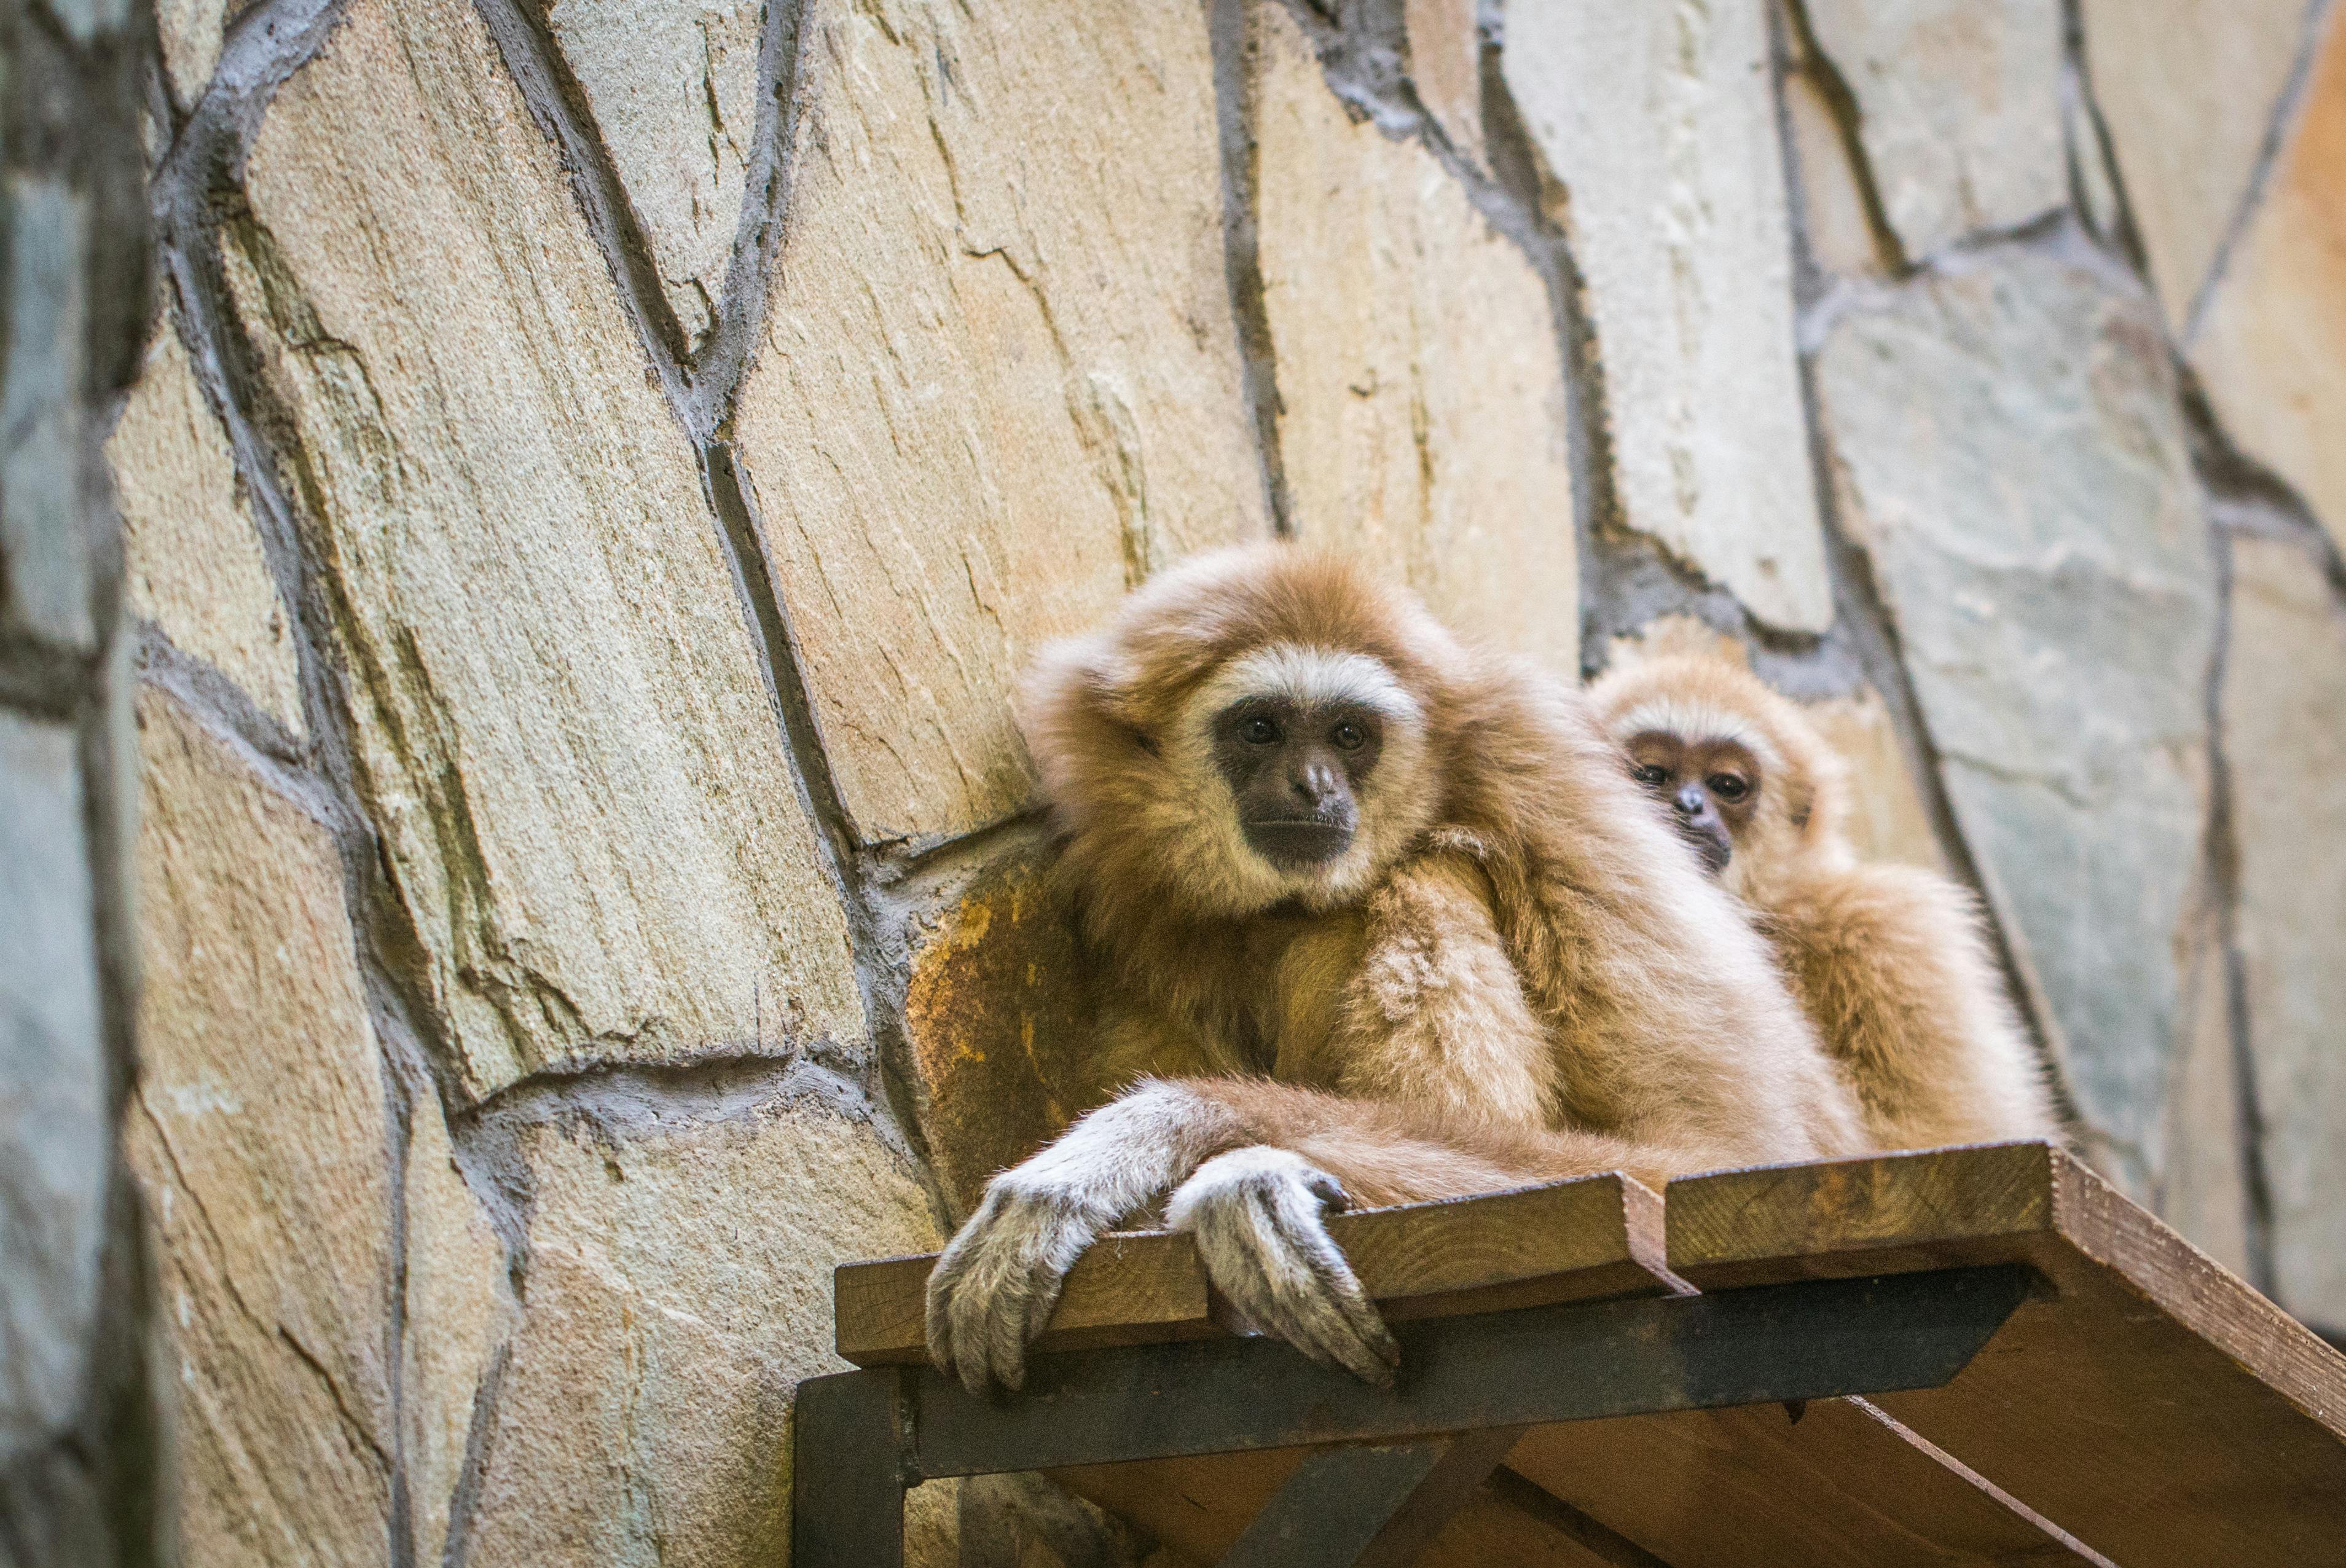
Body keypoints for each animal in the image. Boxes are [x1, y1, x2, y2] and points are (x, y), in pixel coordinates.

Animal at [924, 544, 1870, 1395]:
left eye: (1349, 734)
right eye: (1260, 728)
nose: (1312, 785)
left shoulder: (1555, 803)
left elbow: (1694, 1154)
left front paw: (1172, 1144)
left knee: (1422, 873)